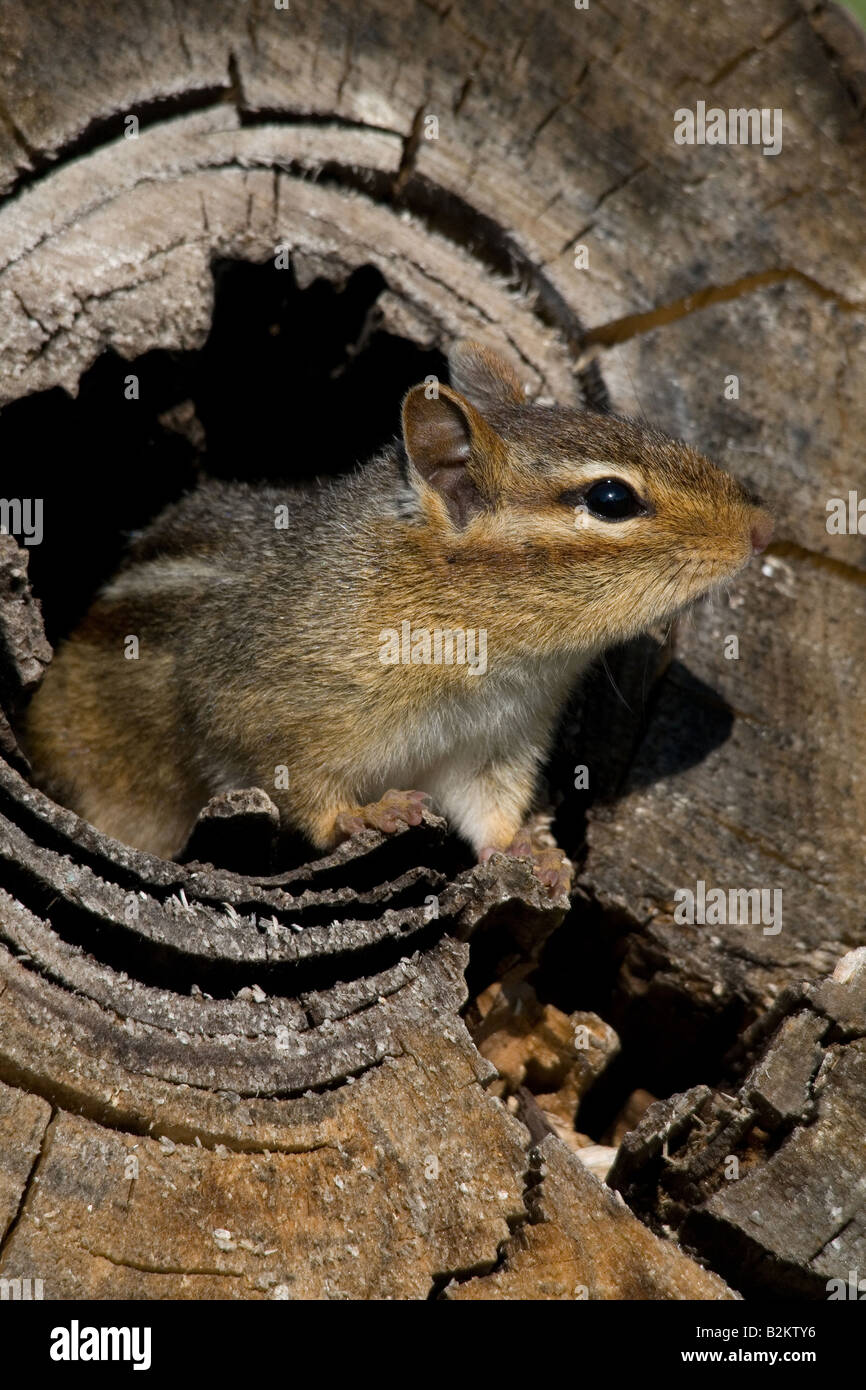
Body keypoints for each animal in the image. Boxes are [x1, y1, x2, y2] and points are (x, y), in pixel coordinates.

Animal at [22, 341, 773, 890]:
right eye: (612, 498)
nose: (760, 529)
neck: (488, 653)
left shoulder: (494, 746)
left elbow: (489, 812)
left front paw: (527, 852)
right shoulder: (260, 704)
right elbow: (295, 781)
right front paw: (362, 816)